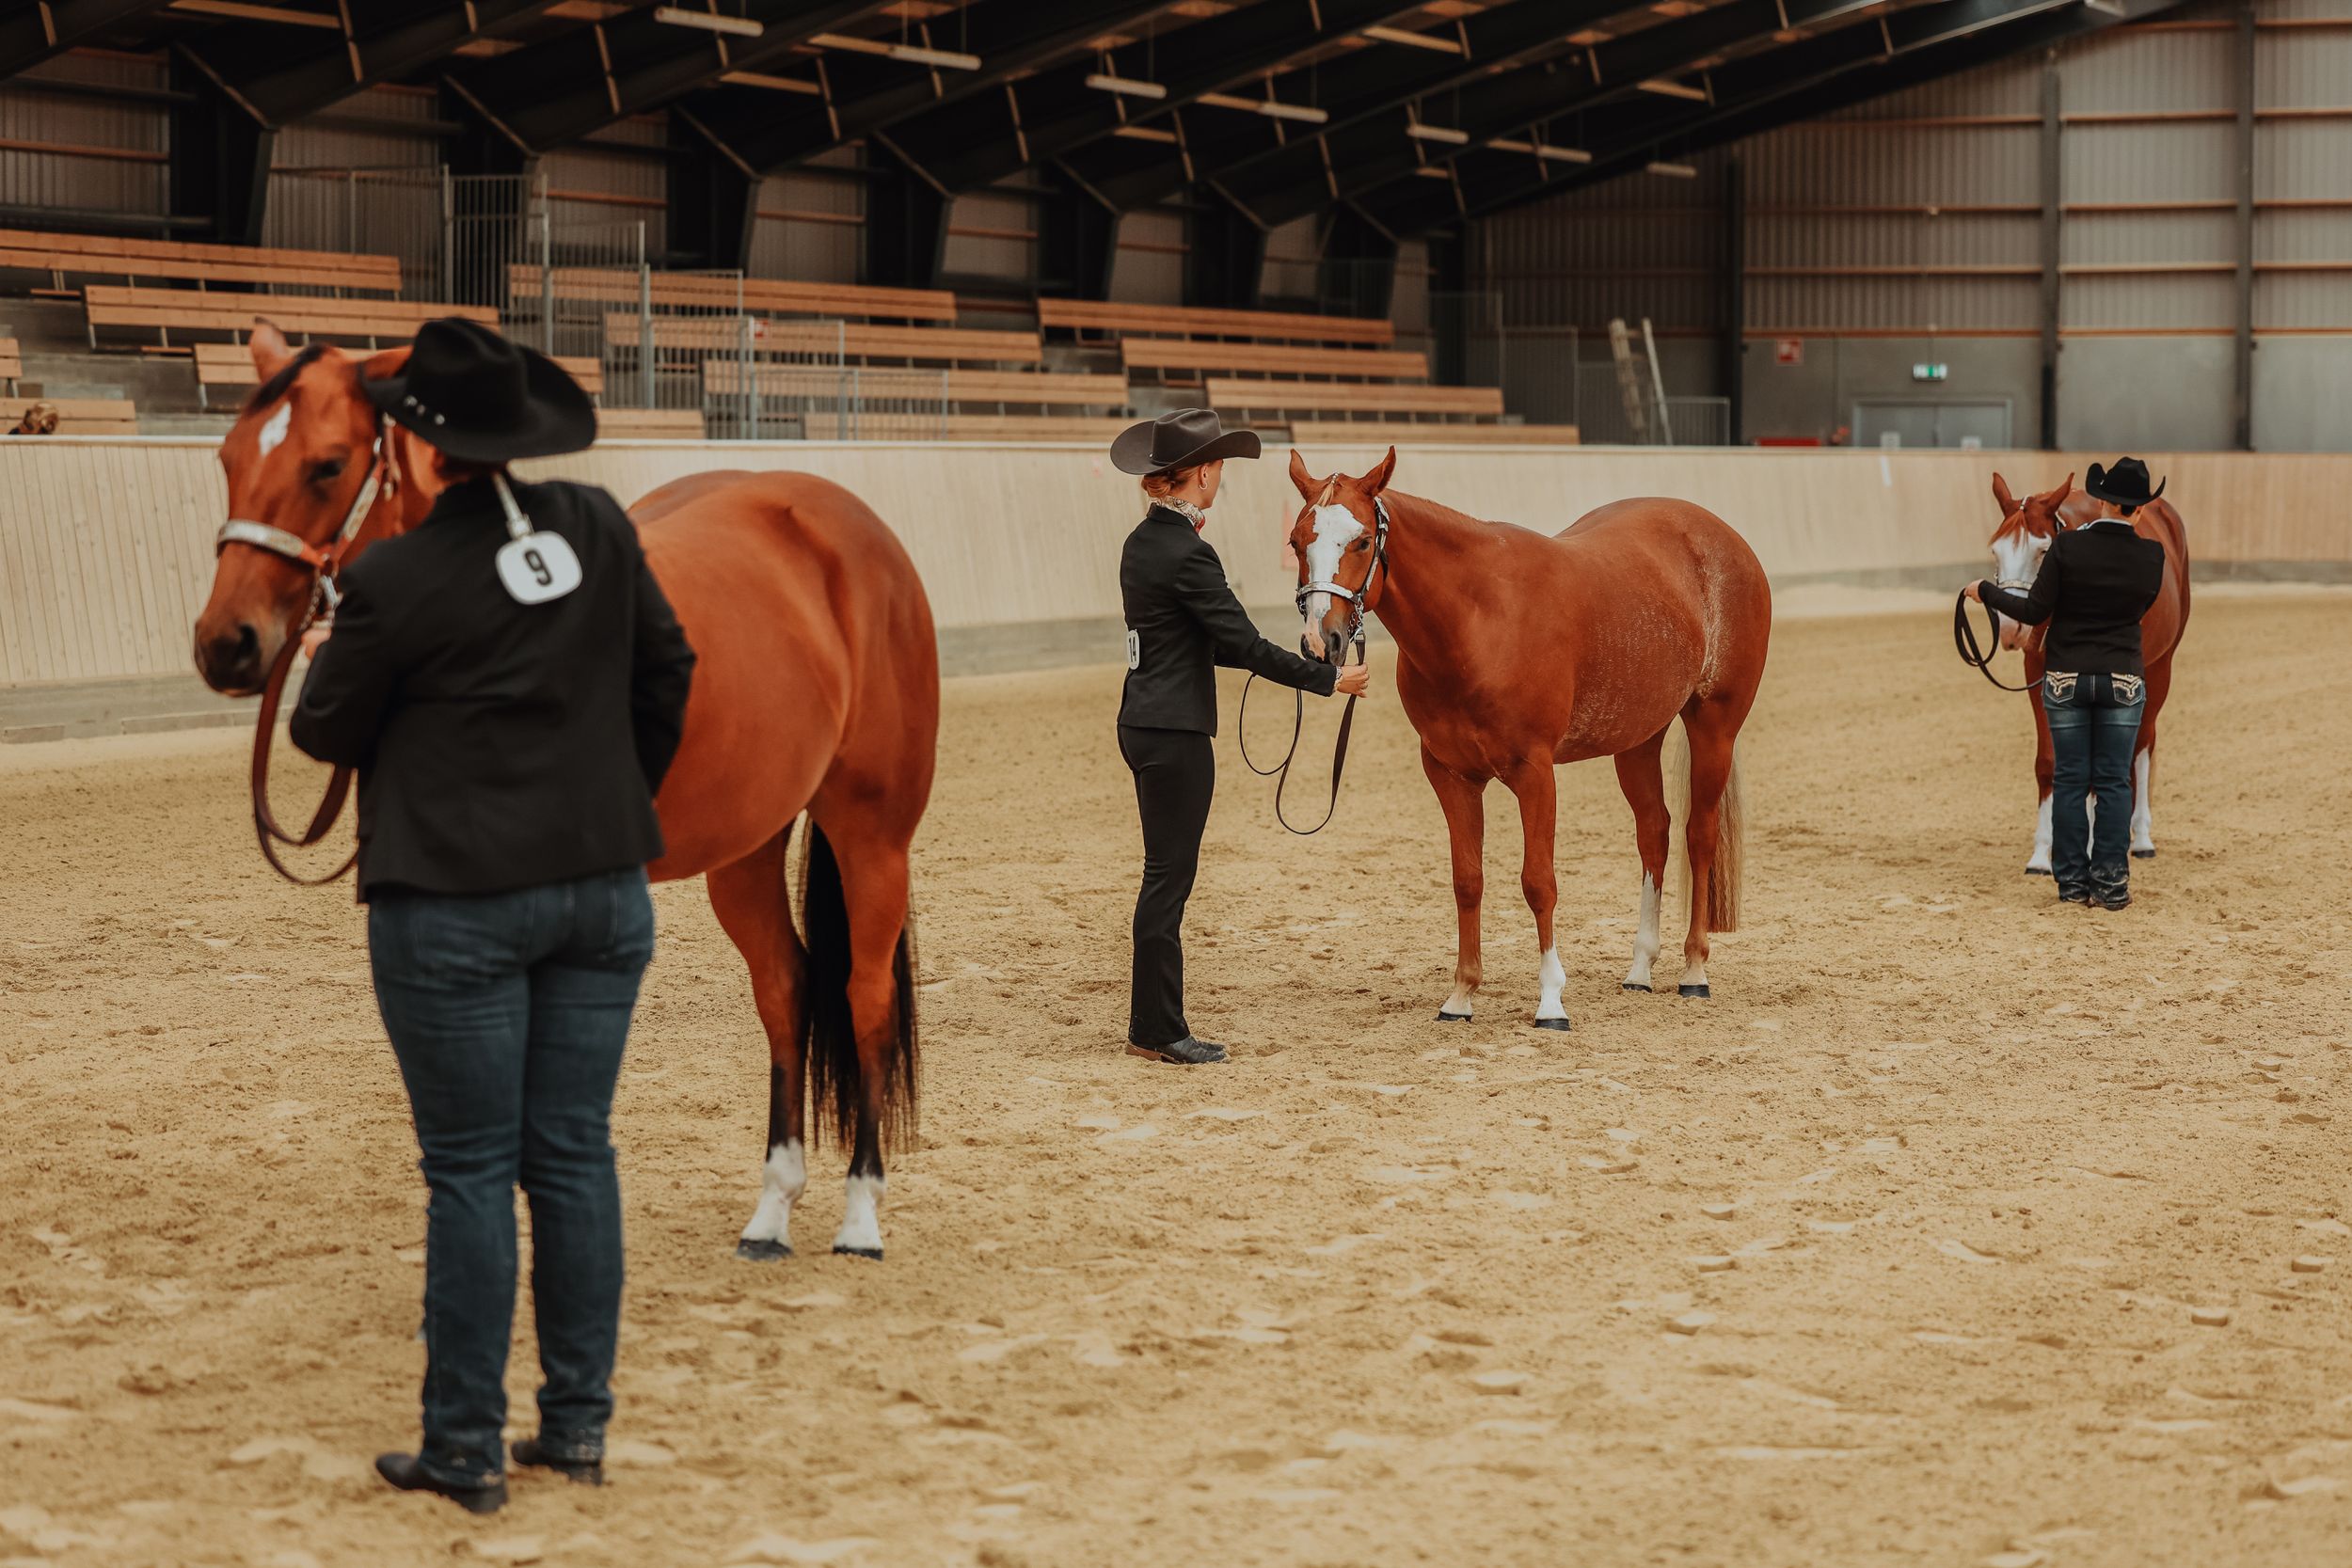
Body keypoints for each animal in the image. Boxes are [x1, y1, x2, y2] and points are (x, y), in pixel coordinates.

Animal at [190, 323, 938, 1262]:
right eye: (227, 456)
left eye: (328, 465)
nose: (226, 643)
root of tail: (849, 527)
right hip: (747, 848)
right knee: (786, 987)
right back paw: (772, 1208)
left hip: (872, 832)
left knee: (864, 995)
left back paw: (861, 1213)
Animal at [1284, 448, 1771, 1023]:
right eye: (1296, 541)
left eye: (1361, 542)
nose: (1322, 642)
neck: (1480, 620)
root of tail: (1724, 538)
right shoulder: (1450, 775)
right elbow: (1467, 880)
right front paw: (1461, 995)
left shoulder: (1534, 774)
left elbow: (1539, 882)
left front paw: (1551, 1001)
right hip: (1637, 739)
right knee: (1655, 832)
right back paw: (1640, 970)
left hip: (1714, 725)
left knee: (1700, 835)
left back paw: (1694, 970)